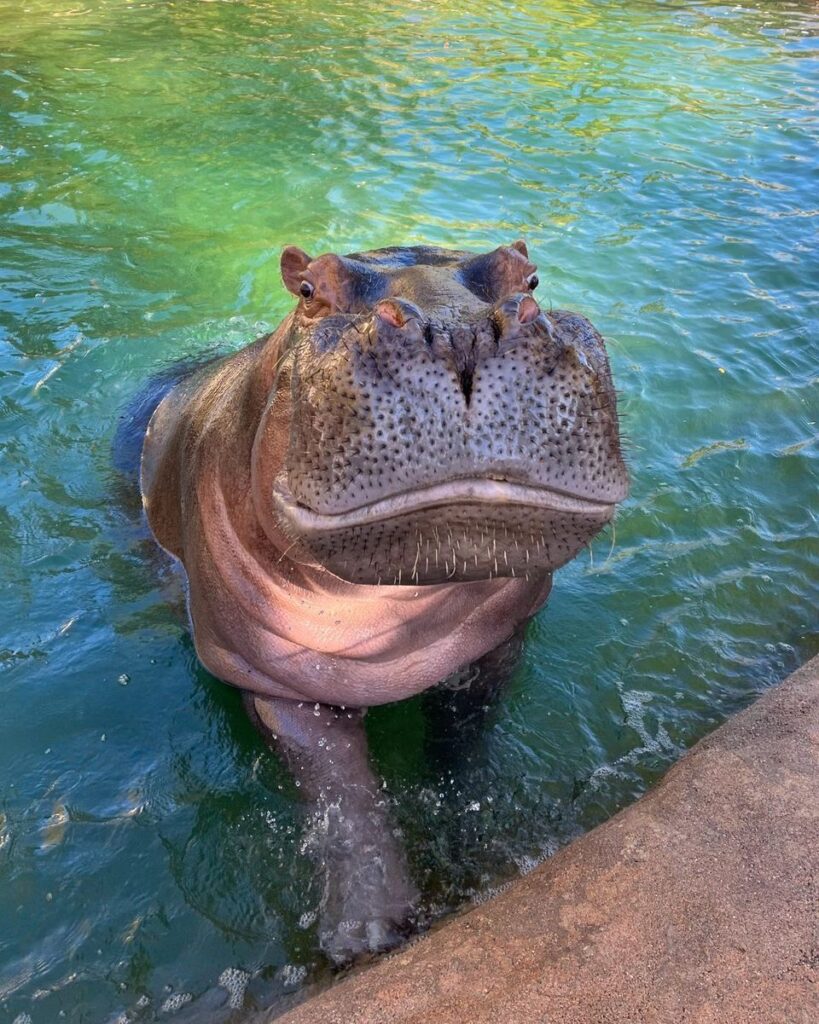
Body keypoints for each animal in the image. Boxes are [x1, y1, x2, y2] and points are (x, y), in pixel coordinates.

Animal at [134, 240, 628, 963]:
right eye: (308, 289)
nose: (461, 332)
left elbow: (464, 747)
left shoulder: (496, 642)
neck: (403, 621)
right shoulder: (278, 683)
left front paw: (472, 851)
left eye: (530, 276)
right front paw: (368, 936)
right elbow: (342, 794)